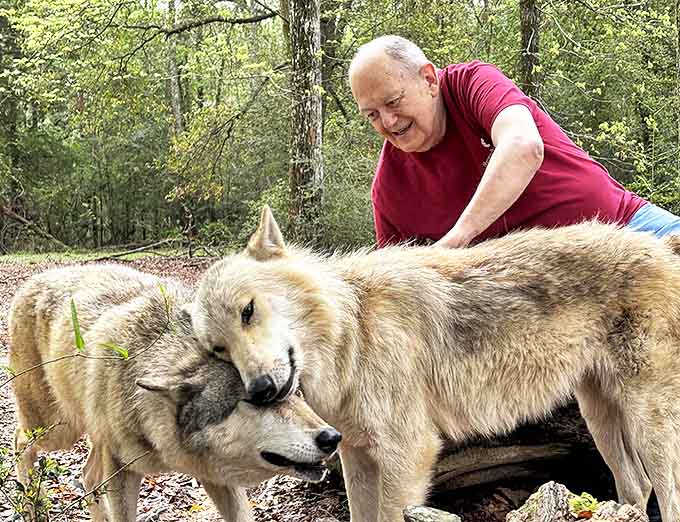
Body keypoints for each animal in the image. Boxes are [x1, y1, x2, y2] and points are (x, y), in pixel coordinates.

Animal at [9, 263, 341, 522]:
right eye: (255, 402)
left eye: (294, 392)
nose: (332, 437)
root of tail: (35, 278)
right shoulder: (121, 471)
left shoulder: (217, 479)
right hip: (57, 431)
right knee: (19, 441)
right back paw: (33, 505)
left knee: (87, 476)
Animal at [191, 206, 680, 522]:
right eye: (218, 349)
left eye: (248, 311)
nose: (260, 390)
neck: (353, 329)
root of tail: (661, 247)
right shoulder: (357, 456)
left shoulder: (407, 453)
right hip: (600, 416)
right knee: (636, 488)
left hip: (648, 425)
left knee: (668, 497)